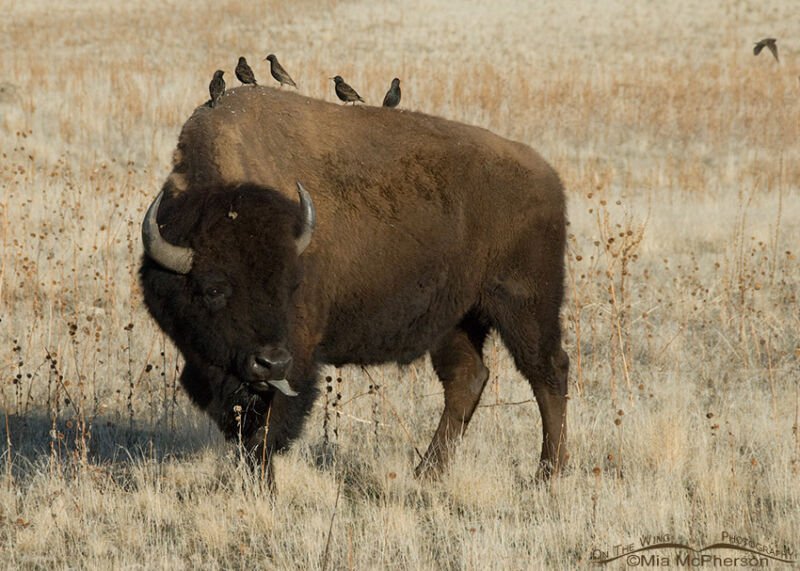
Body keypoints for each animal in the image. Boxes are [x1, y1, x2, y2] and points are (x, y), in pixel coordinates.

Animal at [139, 86, 569, 485]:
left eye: (289, 285)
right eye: (213, 289)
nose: (270, 361)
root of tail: (546, 175)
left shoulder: (296, 355)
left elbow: (266, 429)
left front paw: (264, 488)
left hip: (524, 306)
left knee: (549, 373)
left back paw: (548, 473)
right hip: (456, 320)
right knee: (467, 378)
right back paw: (426, 472)